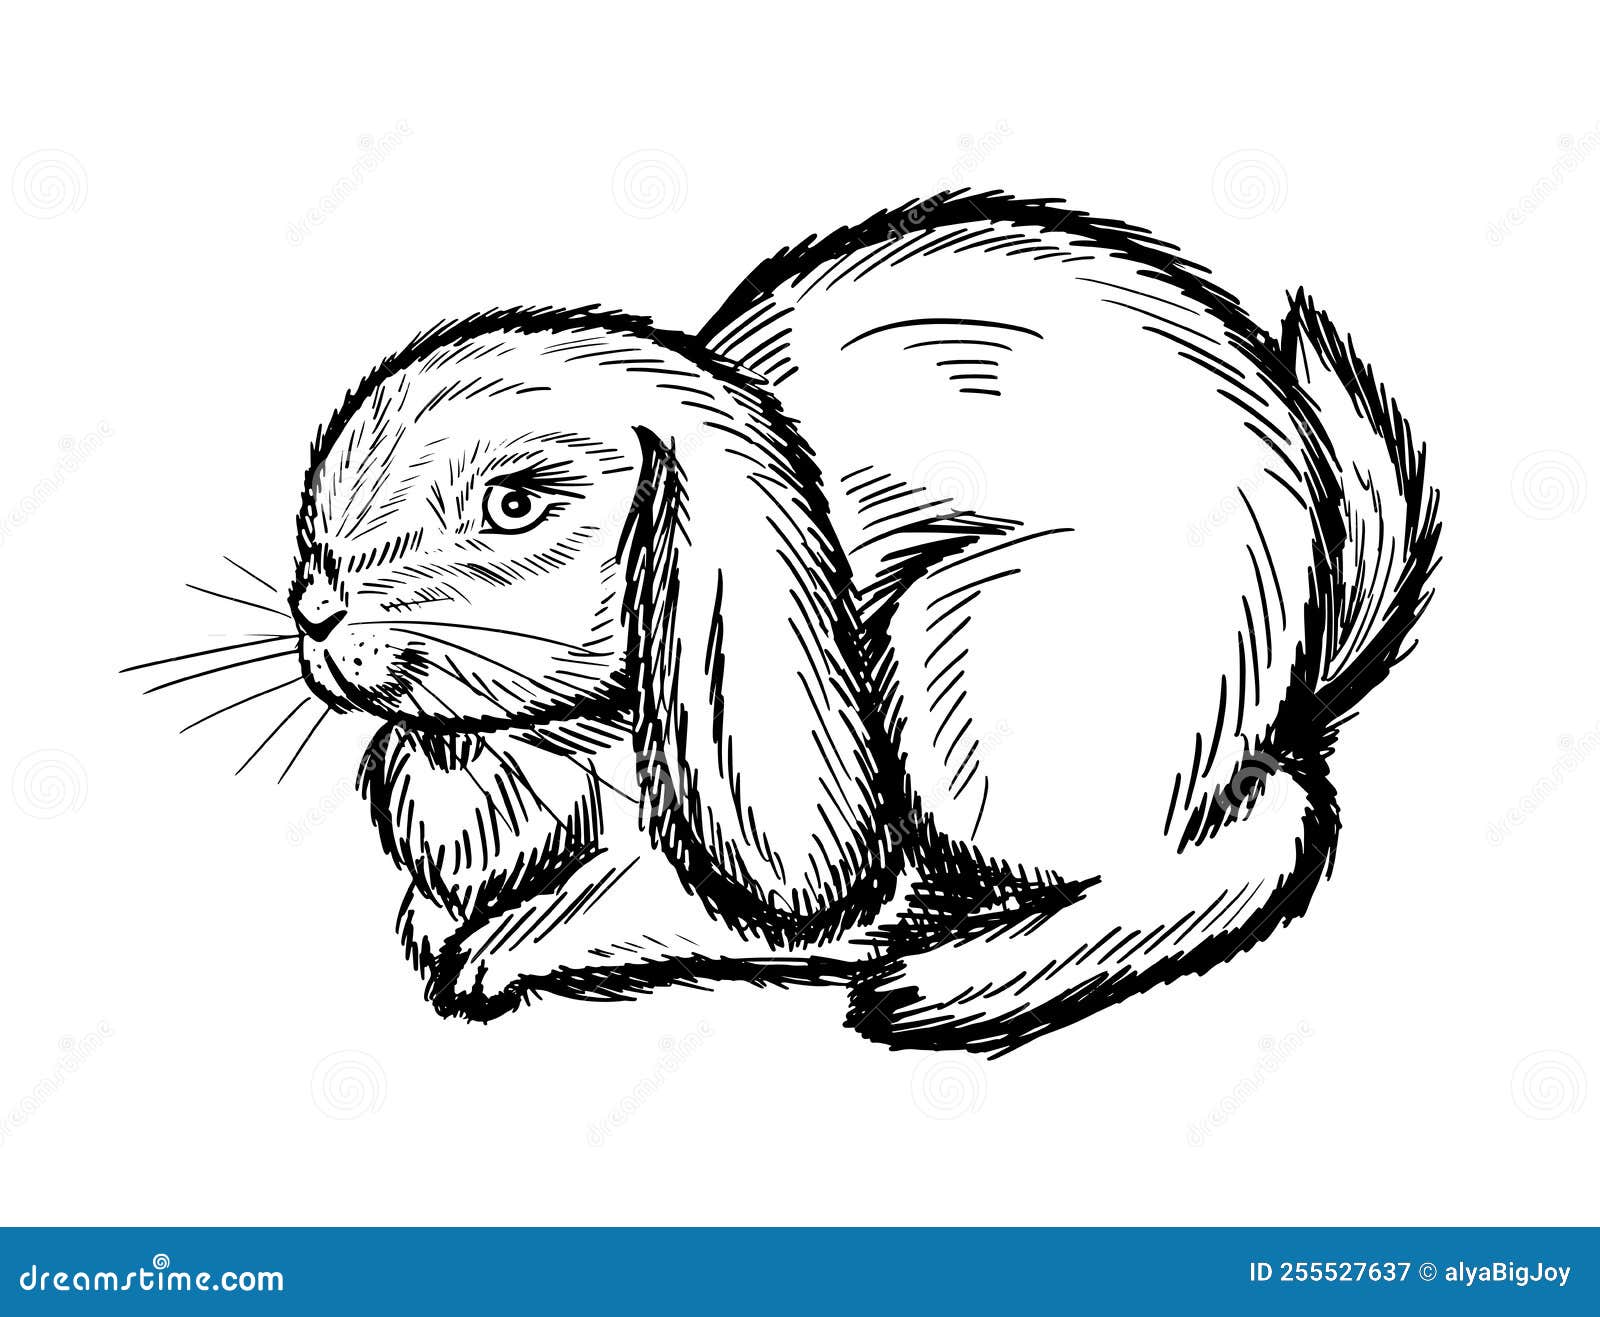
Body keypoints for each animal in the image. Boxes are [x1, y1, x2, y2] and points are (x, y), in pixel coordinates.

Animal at [283, 190, 1439, 1054]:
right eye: (319, 523)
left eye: (516, 503)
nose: (317, 612)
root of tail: (1292, 669)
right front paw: (440, 917)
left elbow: (665, 900)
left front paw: (490, 952)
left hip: (959, 657)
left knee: (1250, 831)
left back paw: (954, 976)